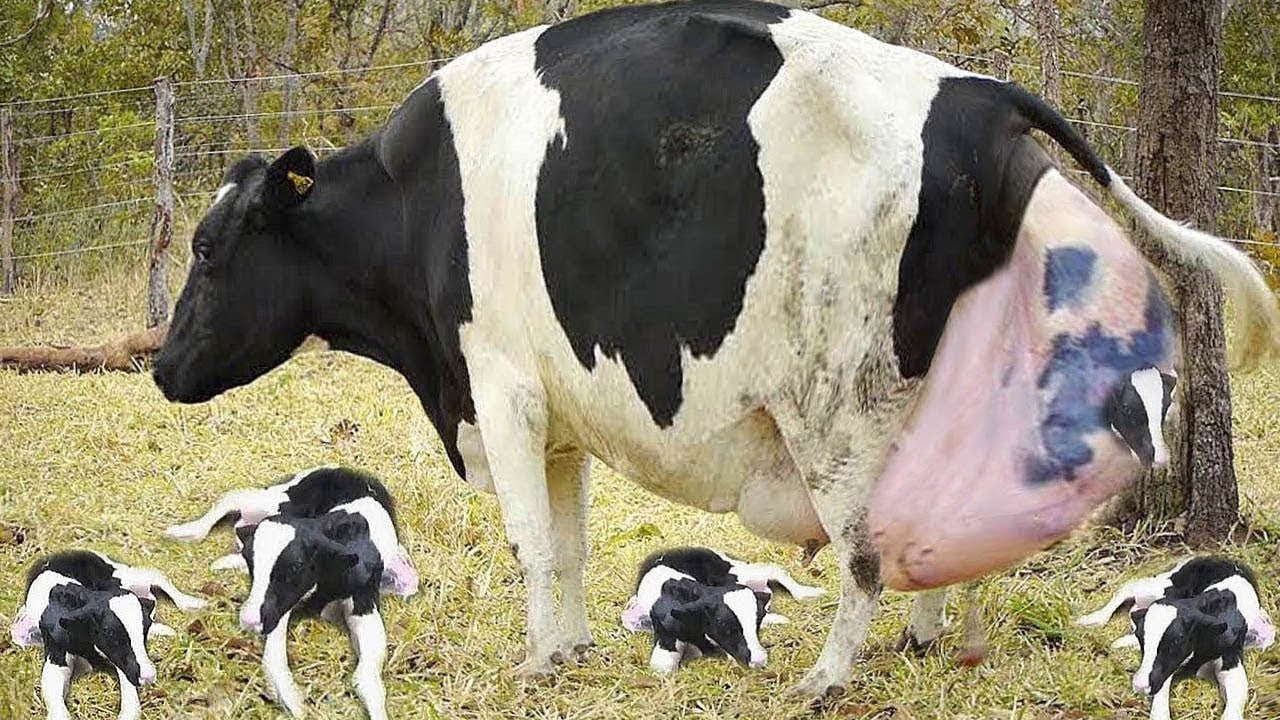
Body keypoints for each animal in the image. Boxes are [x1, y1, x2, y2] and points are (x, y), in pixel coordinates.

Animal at [150, 0, 1280, 697]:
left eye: (208, 251)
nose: (158, 367)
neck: (416, 201)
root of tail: (973, 92)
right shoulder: (559, 417)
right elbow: (565, 544)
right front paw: (568, 651)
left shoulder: (502, 388)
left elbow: (528, 541)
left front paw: (535, 663)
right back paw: (934, 642)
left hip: (841, 406)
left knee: (866, 550)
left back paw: (828, 675)